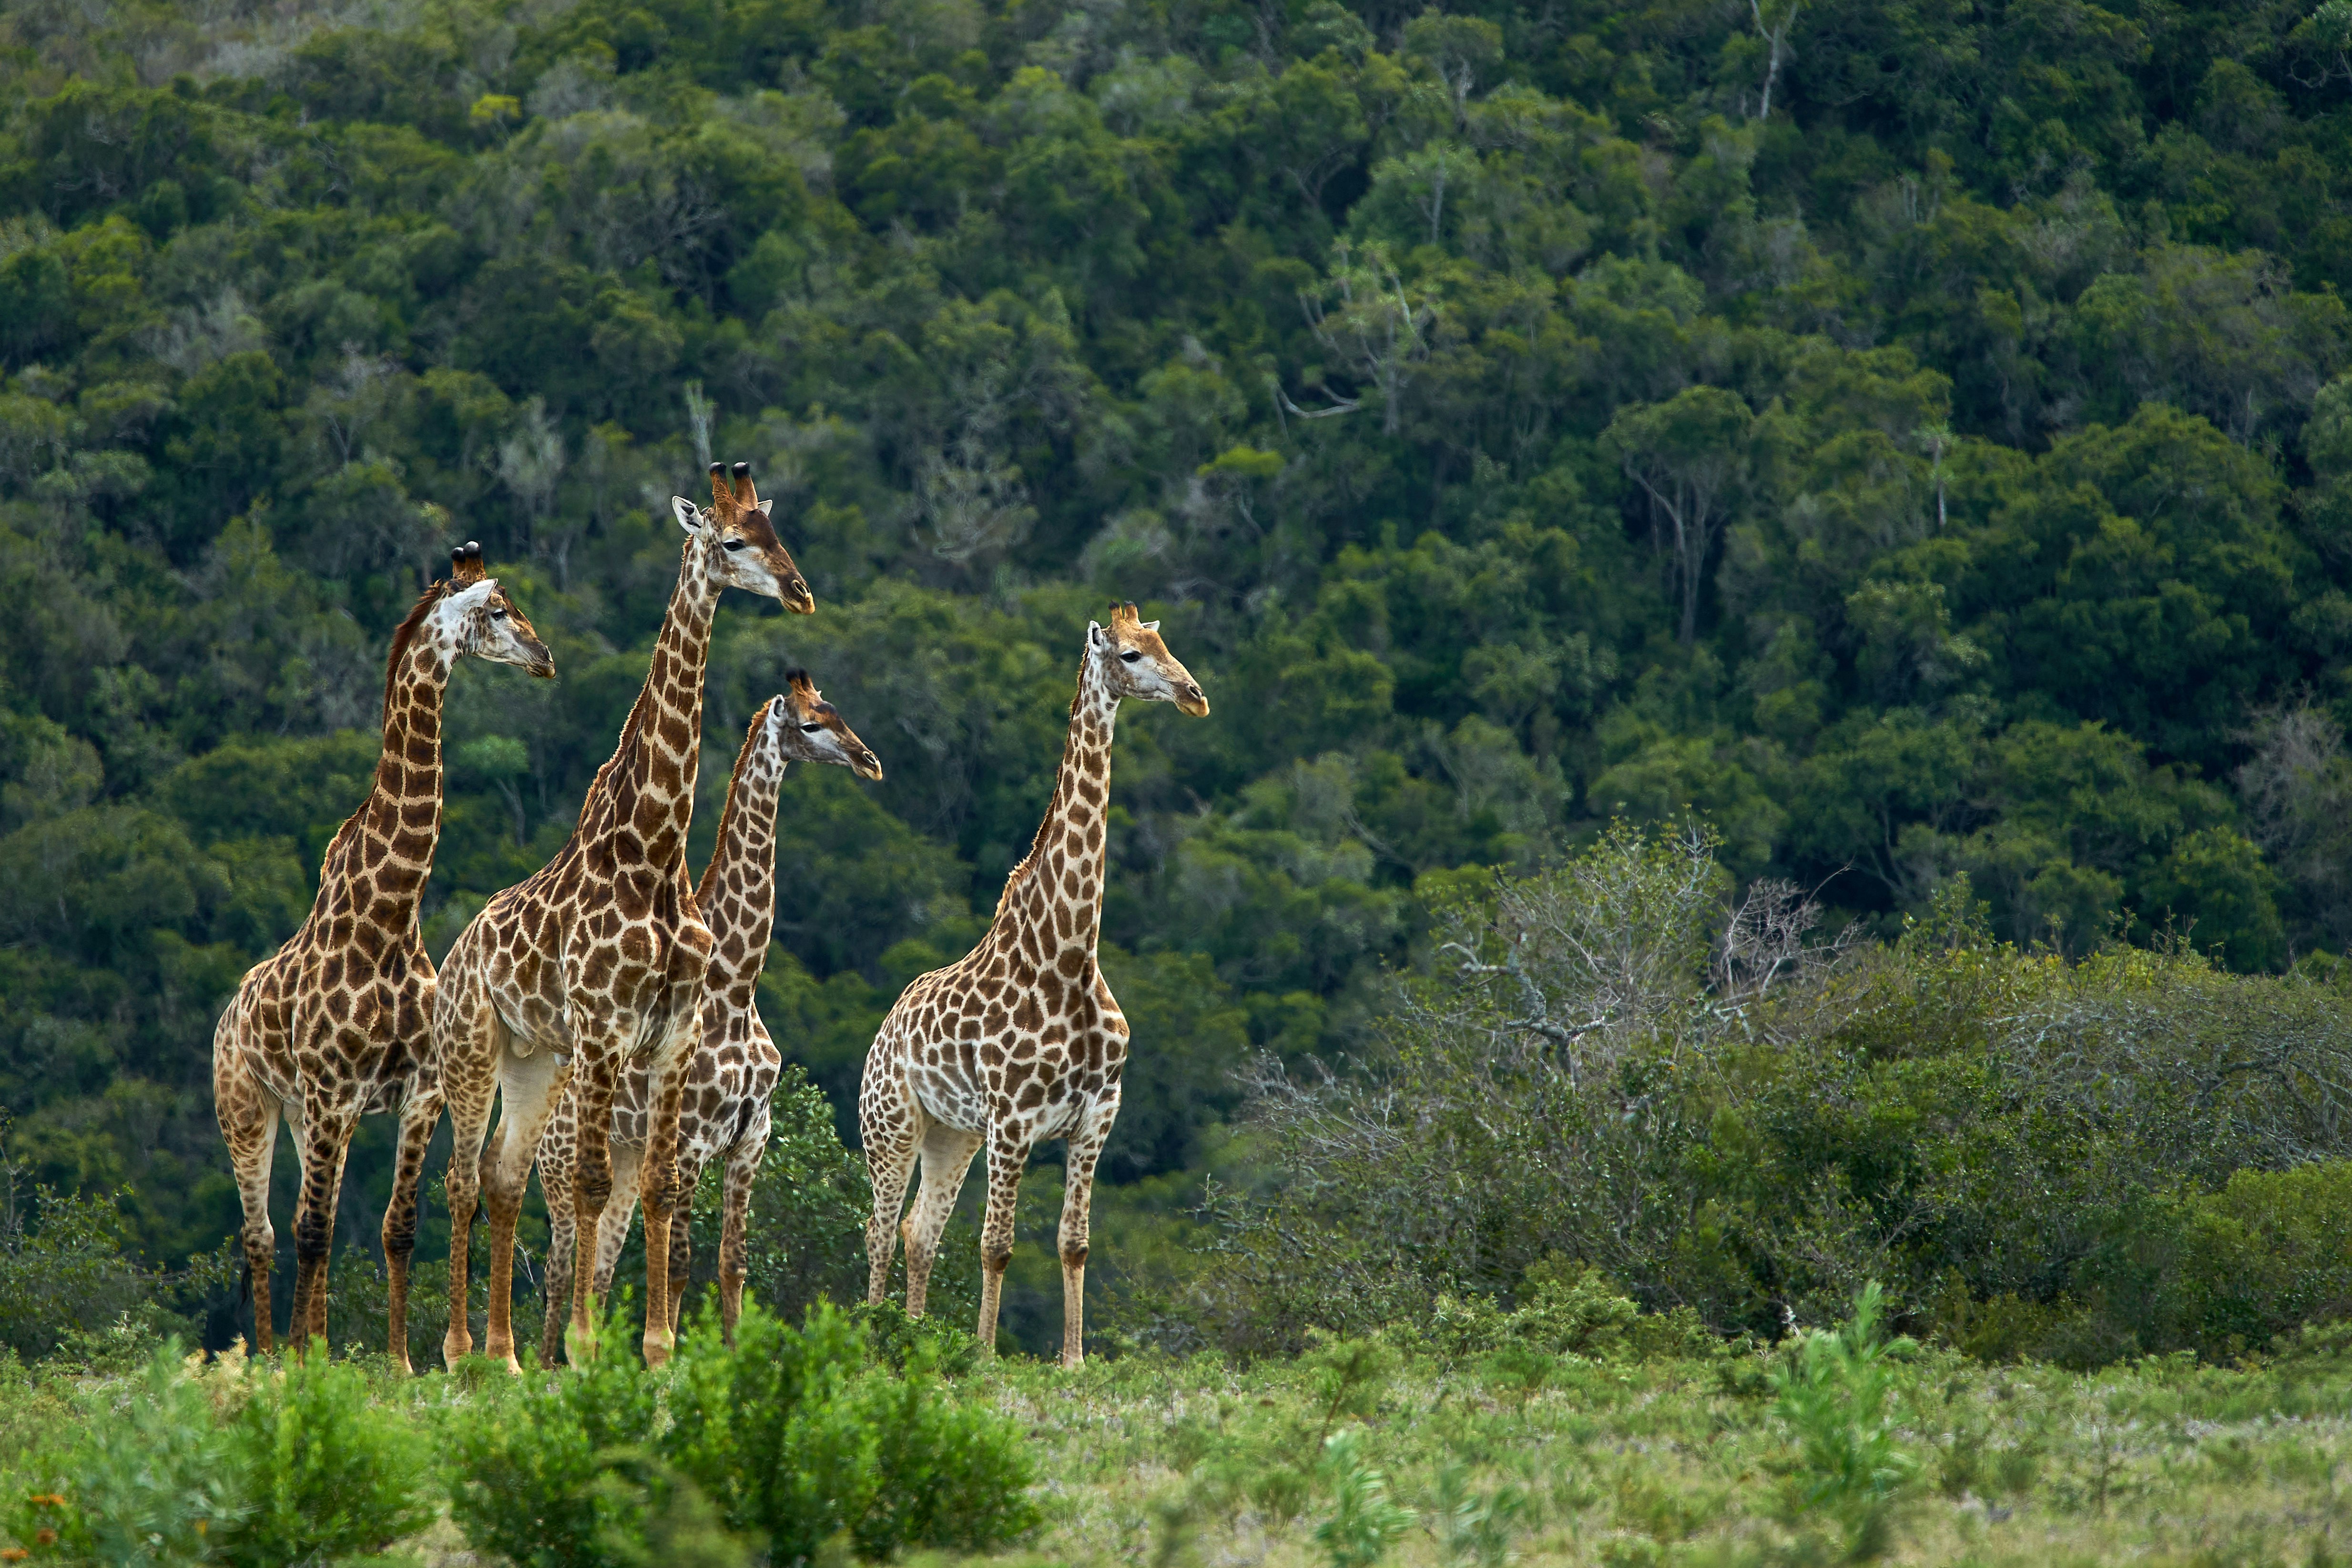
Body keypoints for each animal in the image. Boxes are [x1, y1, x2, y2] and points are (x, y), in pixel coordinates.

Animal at [212, 543, 554, 1367]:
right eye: (501, 610)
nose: (545, 658)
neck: (391, 915)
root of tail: (228, 1014)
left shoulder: (418, 1088)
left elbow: (395, 1227)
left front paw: (398, 1361)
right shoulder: (334, 1090)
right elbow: (314, 1232)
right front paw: (305, 1365)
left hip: (300, 1113)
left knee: (299, 1222)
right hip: (247, 1105)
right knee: (264, 1233)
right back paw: (270, 1356)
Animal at [430, 462, 810, 1371]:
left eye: (779, 533)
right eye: (733, 540)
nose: (800, 592)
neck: (652, 850)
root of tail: (457, 951)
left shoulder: (673, 1033)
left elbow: (663, 1191)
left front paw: (661, 1350)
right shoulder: (605, 1026)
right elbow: (595, 1185)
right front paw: (585, 1348)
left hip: (536, 1058)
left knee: (500, 1177)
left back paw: (503, 1355)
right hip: (475, 1046)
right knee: (464, 1179)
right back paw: (462, 1352)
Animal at [536, 670, 883, 1363]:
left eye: (837, 709)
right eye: (811, 723)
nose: (868, 761)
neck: (737, 985)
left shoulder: (752, 1138)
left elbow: (732, 1261)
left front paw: (731, 1353)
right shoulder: (694, 1139)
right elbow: (679, 1262)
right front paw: (671, 1358)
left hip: (621, 1165)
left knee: (600, 1267)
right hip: (560, 1176)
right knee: (558, 1271)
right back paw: (540, 1363)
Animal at [859, 602, 1207, 1367]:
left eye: (1166, 643)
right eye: (1131, 655)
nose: (1194, 695)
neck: (1067, 958)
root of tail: (884, 1029)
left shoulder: (1098, 1113)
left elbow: (1073, 1243)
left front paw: (1072, 1358)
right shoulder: (1014, 1119)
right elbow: (996, 1245)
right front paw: (986, 1354)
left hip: (951, 1134)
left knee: (918, 1231)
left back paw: (914, 1338)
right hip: (892, 1123)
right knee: (879, 1227)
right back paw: (872, 1336)